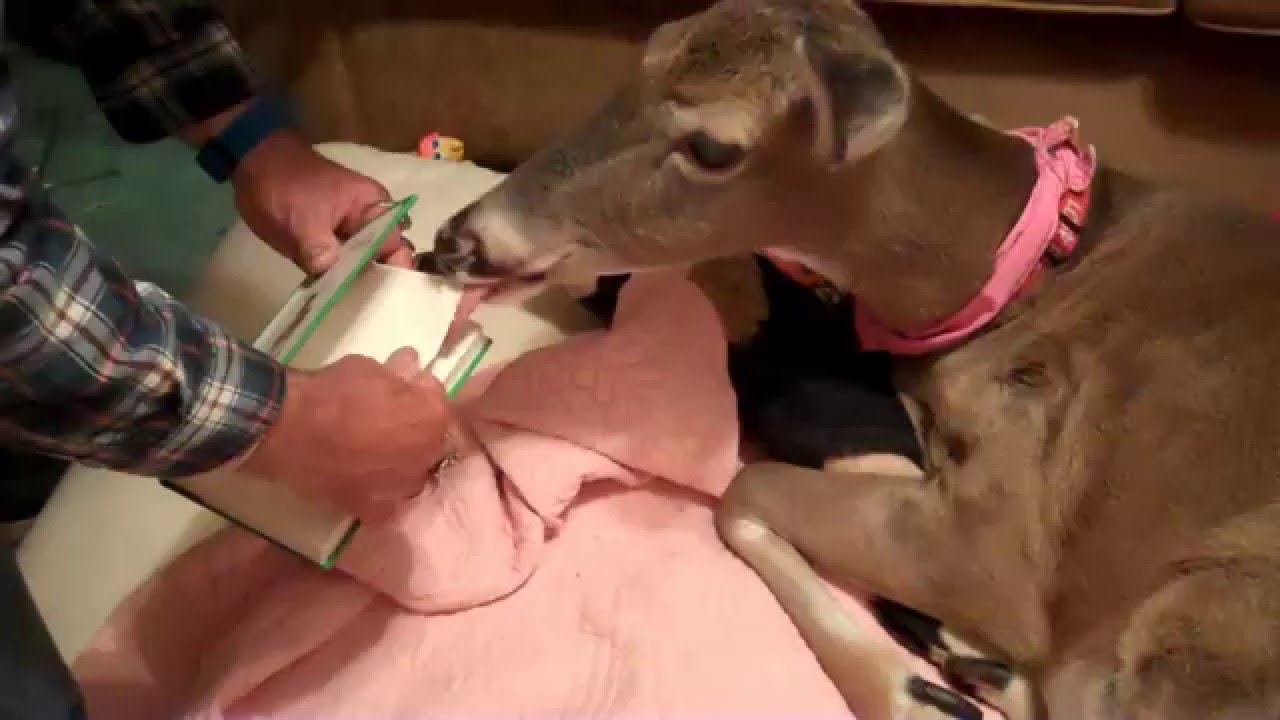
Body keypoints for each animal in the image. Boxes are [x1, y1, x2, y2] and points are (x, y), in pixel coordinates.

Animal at [419, 0, 1280, 717]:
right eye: (640, 61)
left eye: (713, 145)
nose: (455, 241)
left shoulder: (1005, 544)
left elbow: (742, 490)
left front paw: (911, 693)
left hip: (1194, 622)